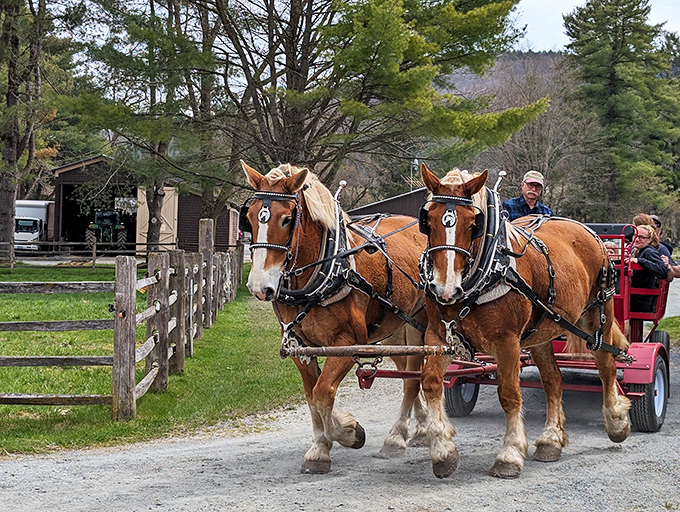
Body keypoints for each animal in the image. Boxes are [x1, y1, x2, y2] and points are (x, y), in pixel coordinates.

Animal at [240, 161, 429, 473]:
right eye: (250, 218)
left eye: (287, 219)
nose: (259, 287)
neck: (326, 270)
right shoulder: (300, 346)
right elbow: (312, 396)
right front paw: (322, 445)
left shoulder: (347, 344)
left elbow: (323, 391)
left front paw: (346, 434)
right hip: (394, 328)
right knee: (408, 373)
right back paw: (423, 427)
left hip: (421, 326)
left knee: (413, 378)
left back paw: (396, 438)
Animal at [416, 163, 631, 479]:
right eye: (428, 221)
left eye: (472, 224)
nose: (445, 289)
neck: (487, 270)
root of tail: (589, 231)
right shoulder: (438, 335)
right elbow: (431, 383)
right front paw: (443, 451)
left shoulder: (507, 342)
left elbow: (509, 394)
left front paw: (510, 454)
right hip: (541, 333)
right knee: (553, 380)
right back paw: (551, 439)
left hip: (597, 319)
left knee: (607, 367)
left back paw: (616, 421)